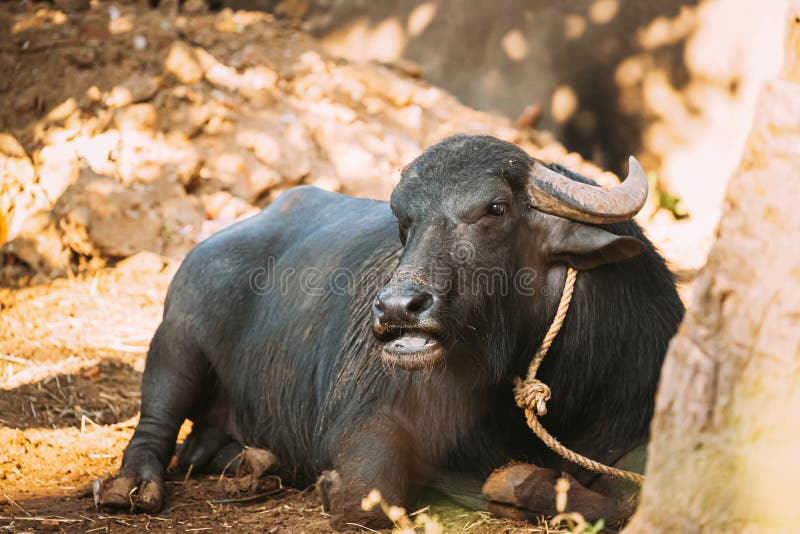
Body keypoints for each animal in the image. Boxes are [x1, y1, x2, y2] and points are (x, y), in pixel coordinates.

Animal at [100, 135, 683, 529]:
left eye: (495, 208)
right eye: (405, 222)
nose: (398, 307)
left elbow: (626, 498)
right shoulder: (371, 414)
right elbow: (367, 492)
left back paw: (253, 460)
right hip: (175, 340)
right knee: (156, 419)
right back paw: (131, 487)